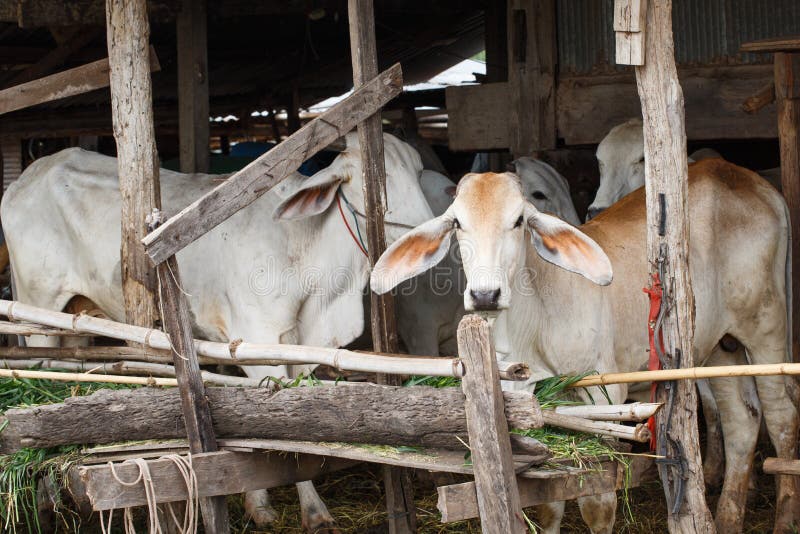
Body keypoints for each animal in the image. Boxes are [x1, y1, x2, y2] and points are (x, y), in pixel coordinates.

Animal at [1, 132, 435, 532]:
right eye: (379, 178)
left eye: (418, 172)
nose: (435, 236)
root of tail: (26, 177)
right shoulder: (260, 348)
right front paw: (297, 509)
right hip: (38, 311)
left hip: (75, 314)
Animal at [371, 161, 800, 533]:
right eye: (458, 223)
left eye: (519, 221)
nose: (485, 294)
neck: (533, 324)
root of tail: (754, 183)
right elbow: (547, 503)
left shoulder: (603, 394)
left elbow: (597, 502)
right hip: (718, 346)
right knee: (742, 420)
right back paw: (727, 519)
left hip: (766, 326)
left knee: (781, 417)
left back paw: (783, 519)